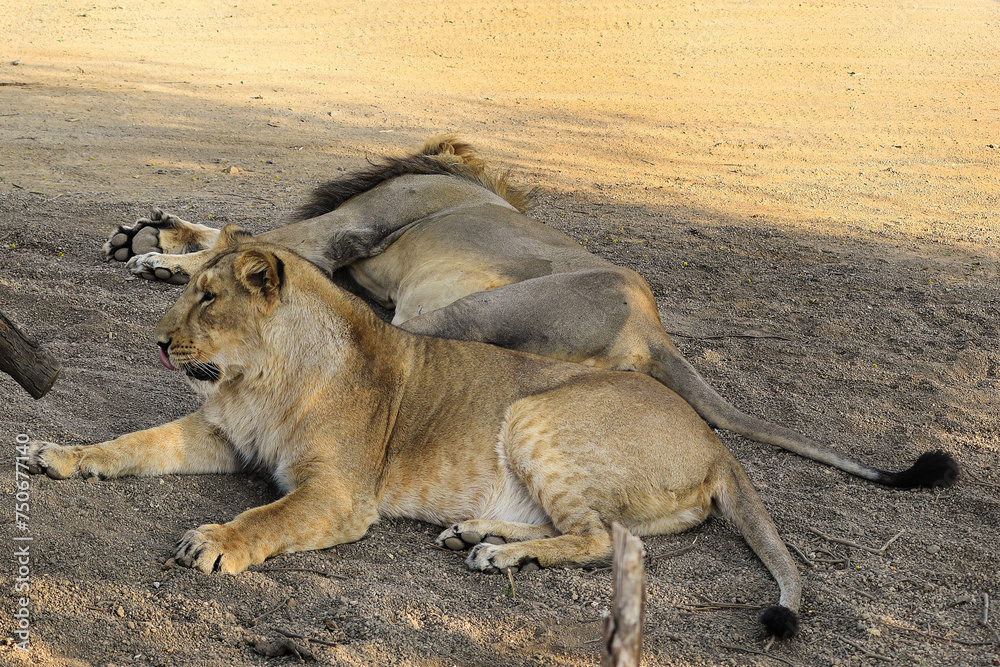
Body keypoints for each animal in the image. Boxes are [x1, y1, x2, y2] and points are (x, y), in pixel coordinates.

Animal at [31, 229, 801, 638]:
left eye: (209, 299)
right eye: (190, 291)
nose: (159, 341)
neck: (257, 378)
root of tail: (717, 443)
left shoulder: (340, 495)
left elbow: (267, 514)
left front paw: (216, 541)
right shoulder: (219, 436)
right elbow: (133, 442)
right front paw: (58, 454)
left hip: (538, 413)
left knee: (599, 537)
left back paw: (497, 554)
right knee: (593, 528)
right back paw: (476, 532)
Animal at [103, 137, 958, 489]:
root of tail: (652, 328)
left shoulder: (346, 230)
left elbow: (247, 240)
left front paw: (158, 255)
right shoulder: (344, 257)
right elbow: (234, 233)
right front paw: (148, 229)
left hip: (461, 314)